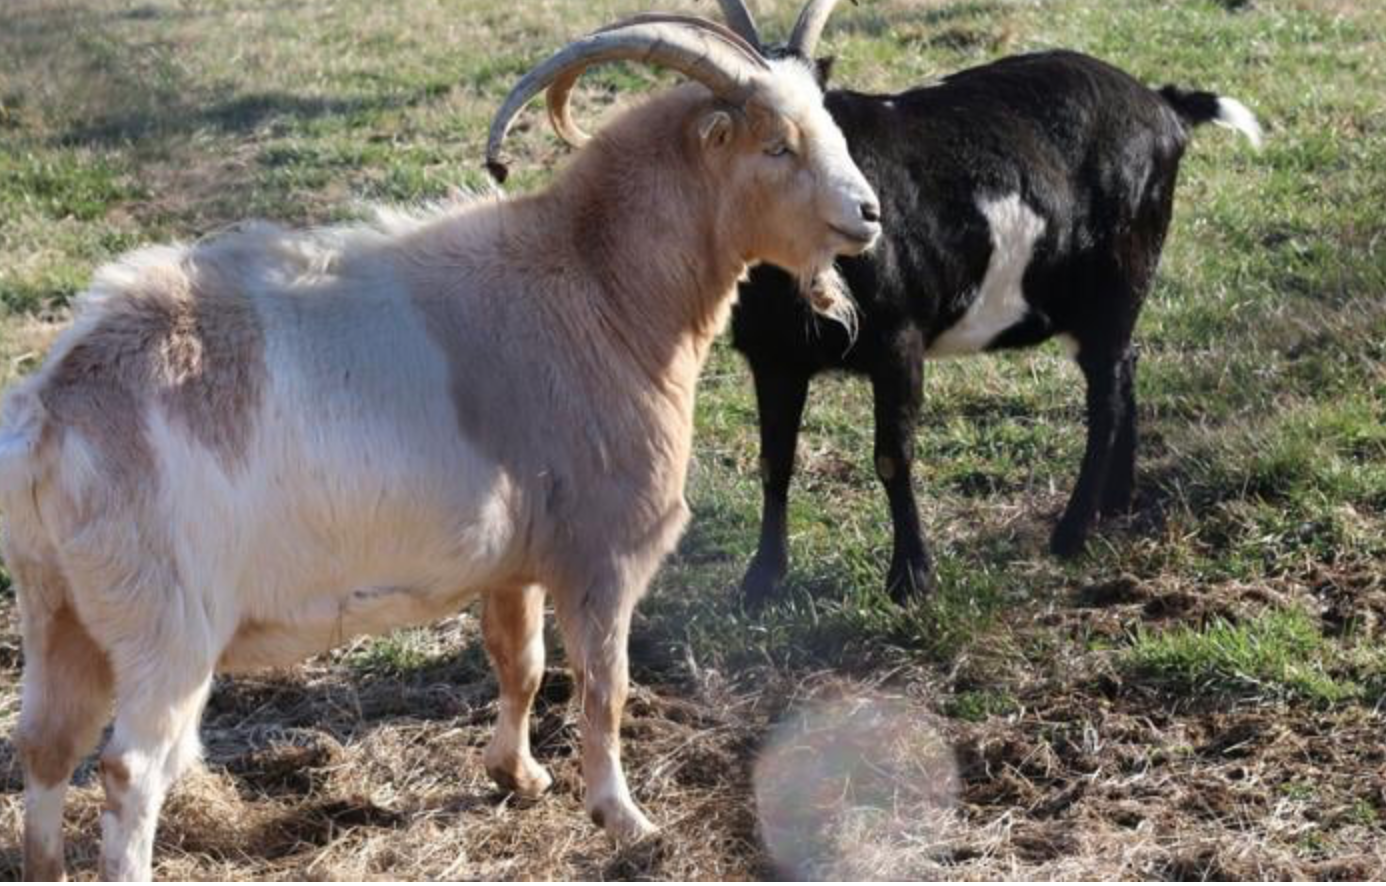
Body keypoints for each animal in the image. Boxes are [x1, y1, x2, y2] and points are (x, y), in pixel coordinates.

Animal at [0, 14, 880, 879]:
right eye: (776, 145)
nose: (868, 214)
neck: (597, 286)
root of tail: (55, 410)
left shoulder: (515, 563)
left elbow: (520, 663)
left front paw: (517, 776)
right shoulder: (603, 553)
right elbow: (604, 686)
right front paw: (625, 820)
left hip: (59, 608)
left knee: (45, 746)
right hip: (166, 628)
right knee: (128, 770)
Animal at [712, 0, 1263, 605]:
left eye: (824, 119)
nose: (860, 212)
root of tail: (1163, 106)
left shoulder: (898, 342)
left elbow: (892, 457)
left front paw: (911, 581)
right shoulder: (772, 357)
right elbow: (775, 461)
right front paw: (760, 581)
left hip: (1120, 277)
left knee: (1106, 395)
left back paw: (1071, 533)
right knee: (1125, 366)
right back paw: (1117, 500)